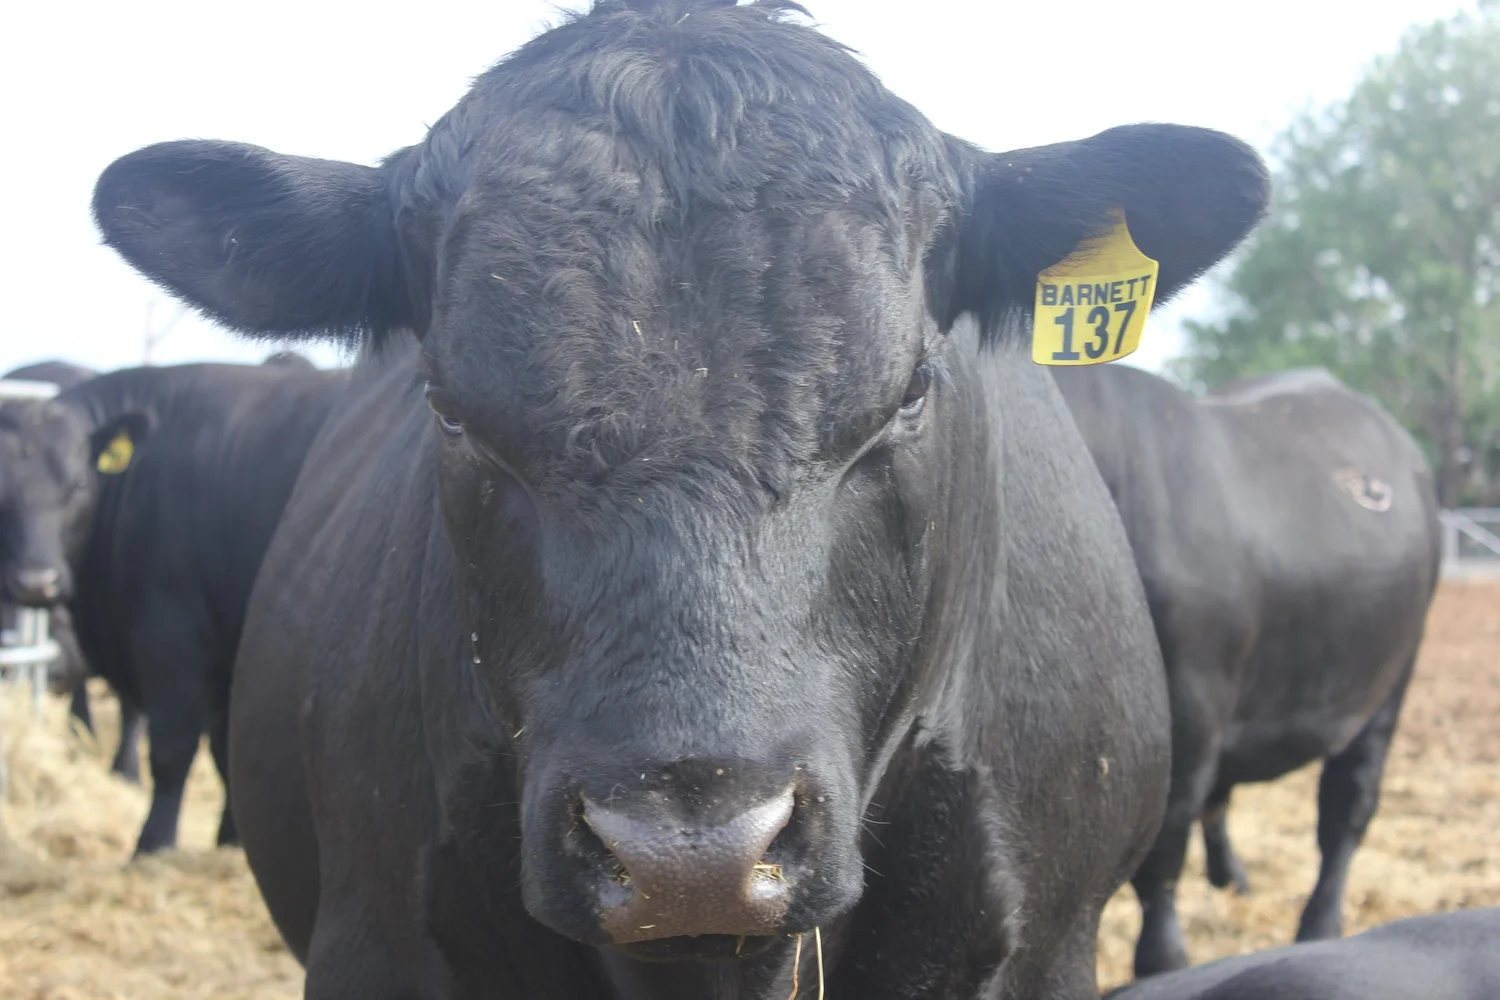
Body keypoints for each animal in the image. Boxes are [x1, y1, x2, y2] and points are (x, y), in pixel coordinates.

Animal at [0, 362, 344, 855]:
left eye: (79, 484)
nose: (35, 583)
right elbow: (226, 750)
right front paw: (230, 838)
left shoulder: (170, 637)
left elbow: (171, 749)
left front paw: (154, 843)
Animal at [1052, 363, 1441, 977]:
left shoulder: (1186, 717)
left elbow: (1160, 857)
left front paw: (1163, 960)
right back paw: (1230, 877)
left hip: (1386, 687)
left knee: (1345, 812)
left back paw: (1318, 926)